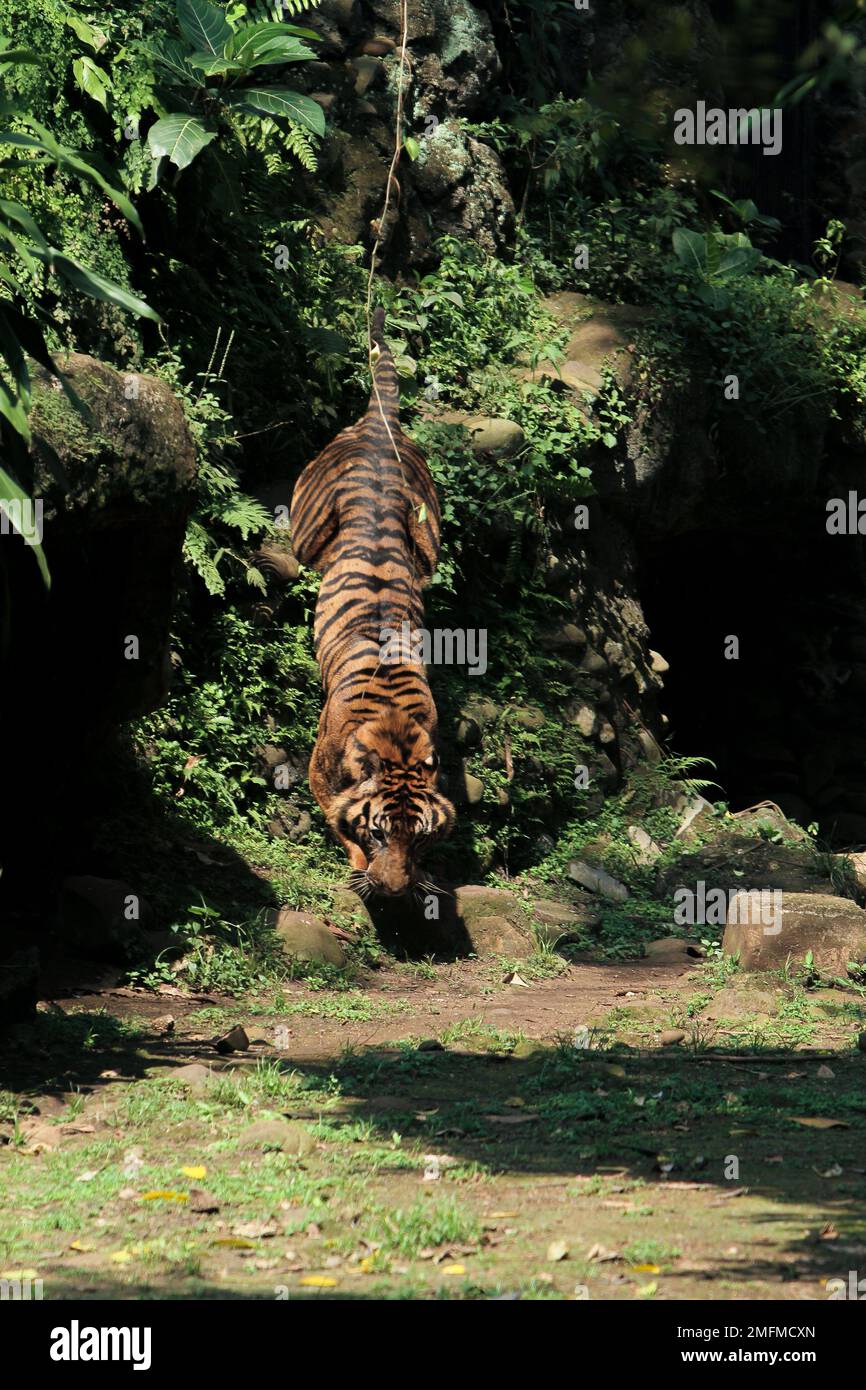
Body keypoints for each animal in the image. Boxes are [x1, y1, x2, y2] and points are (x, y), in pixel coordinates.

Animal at [290, 307, 455, 898]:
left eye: (421, 839)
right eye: (381, 832)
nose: (397, 891)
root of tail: (379, 426)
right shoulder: (319, 771)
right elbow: (338, 818)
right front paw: (360, 867)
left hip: (428, 540)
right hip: (306, 527)